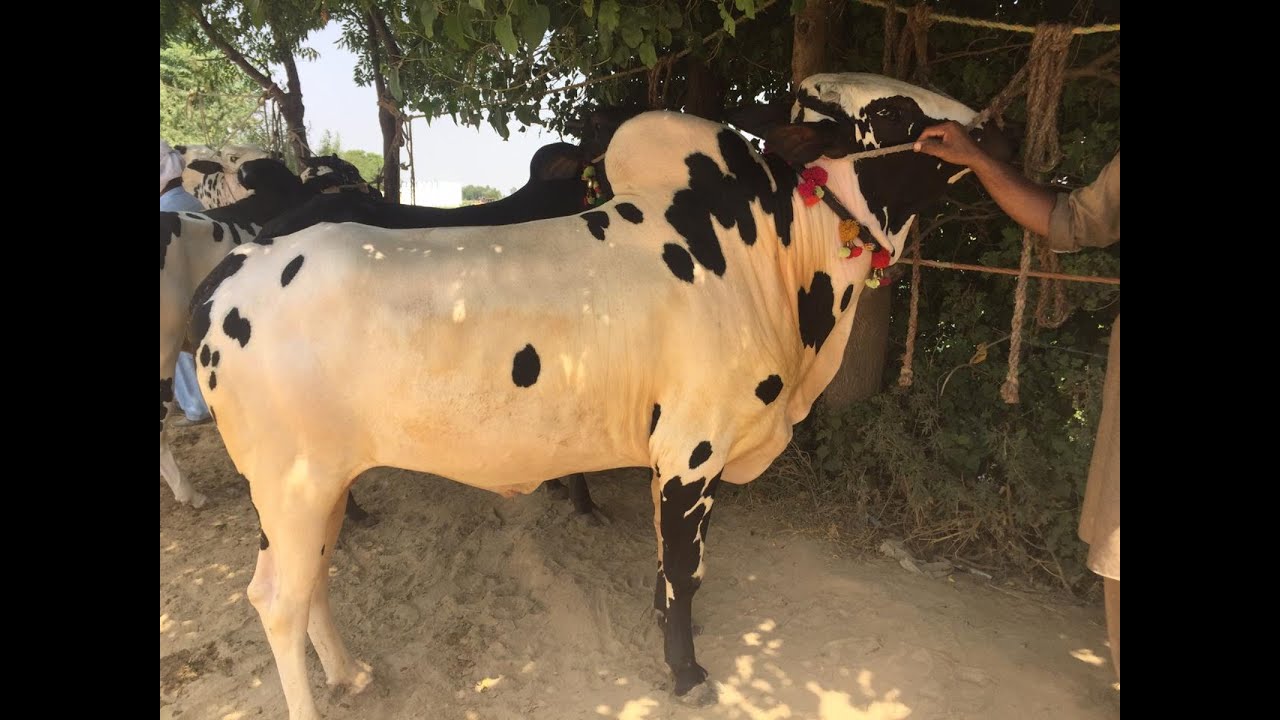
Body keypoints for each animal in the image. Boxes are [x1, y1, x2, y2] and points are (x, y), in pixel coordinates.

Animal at [187, 73, 1010, 719]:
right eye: (895, 113)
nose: (990, 130)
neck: (763, 254)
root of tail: (233, 268)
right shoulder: (690, 452)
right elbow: (684, 572)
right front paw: (687, 672)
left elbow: (676, 571)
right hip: (290, 484)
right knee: (277, 599)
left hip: (319, 486)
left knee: (313, 579)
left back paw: (351, 672)